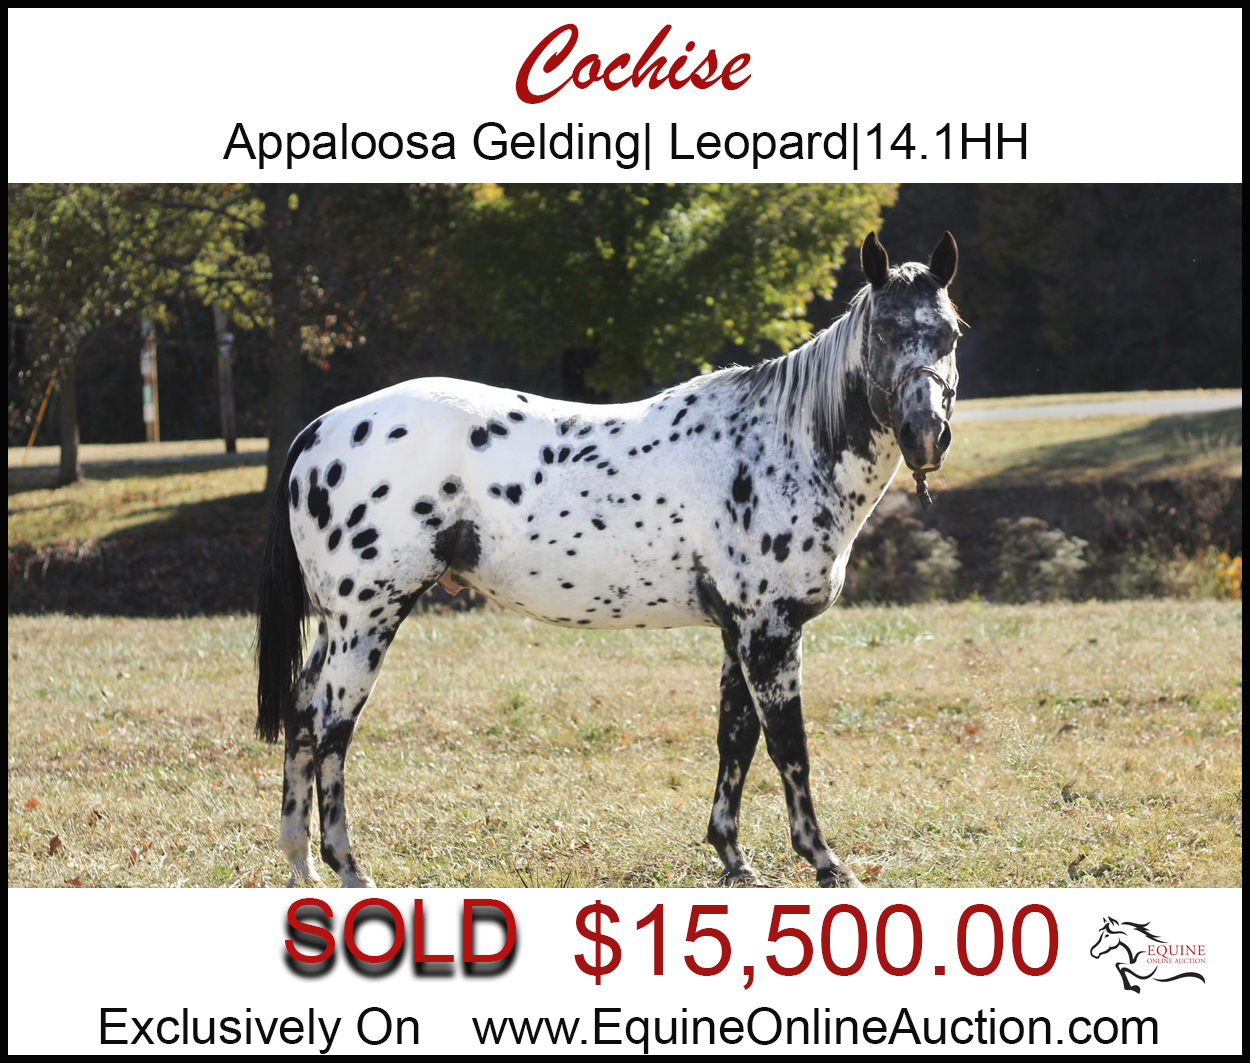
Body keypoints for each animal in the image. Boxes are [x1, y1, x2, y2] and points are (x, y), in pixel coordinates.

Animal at [255, 230, 962, 888]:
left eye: (951, 334)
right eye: (884, 330)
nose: (926, 436)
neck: (778, 446)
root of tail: (317, 431)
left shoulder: (738, 632)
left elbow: (735, 739)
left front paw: (733, 857)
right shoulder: (769, 631)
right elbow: (790, 747)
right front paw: (824, 862)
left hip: (335, 625)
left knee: (301, 713)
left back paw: (300, 863)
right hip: (366, 621)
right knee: (331, 728)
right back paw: (347, 866)